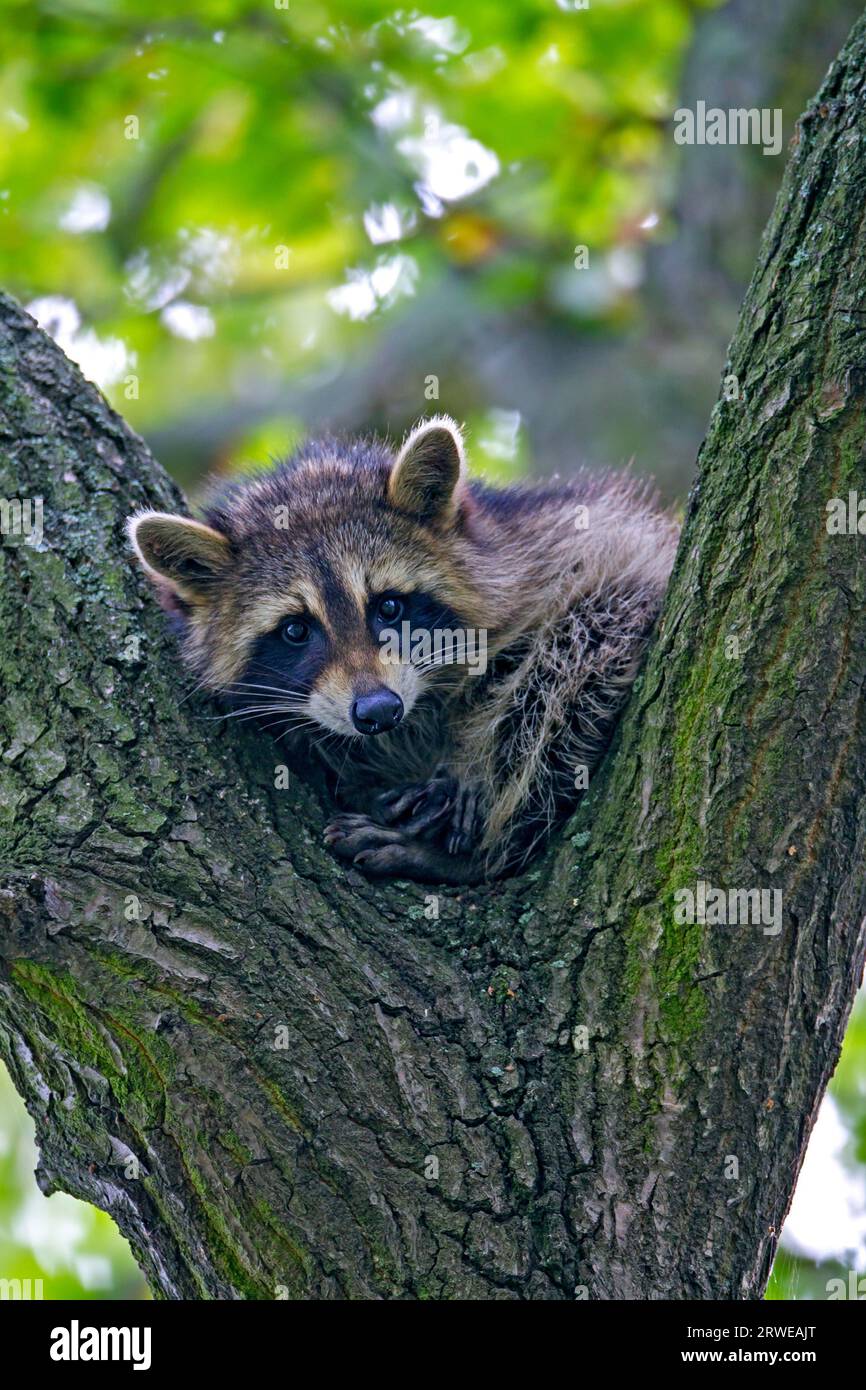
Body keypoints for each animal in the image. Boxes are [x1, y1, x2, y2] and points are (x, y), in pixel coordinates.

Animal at [127, 416, 678, 884]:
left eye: (389, 606)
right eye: (295, 631)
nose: (377, 710)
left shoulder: (574, 546)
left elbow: (581, 626)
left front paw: (467, 771)